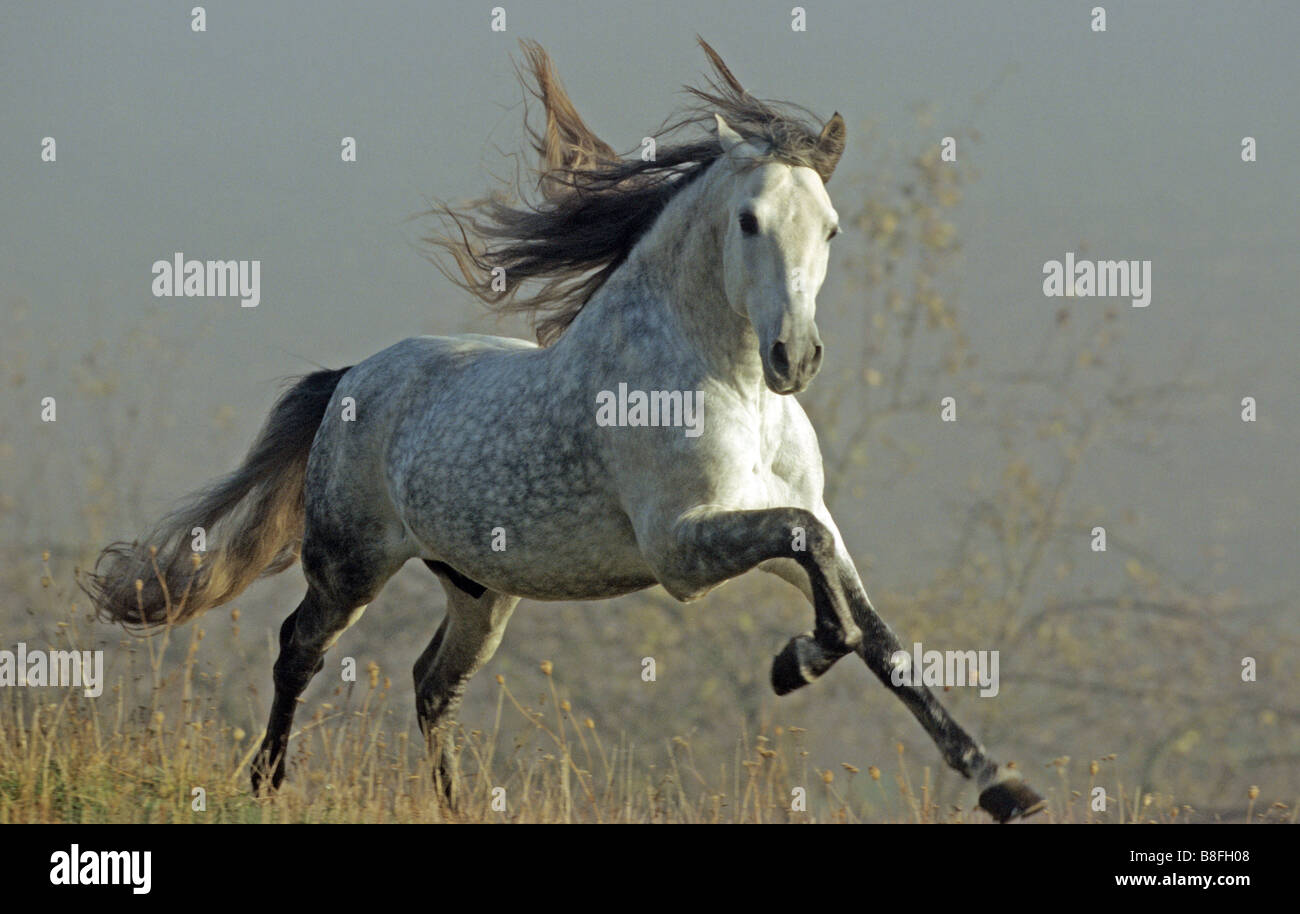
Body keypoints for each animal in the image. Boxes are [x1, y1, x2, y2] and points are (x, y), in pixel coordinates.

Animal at [82, 38, 1045, 822]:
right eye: (749, 221)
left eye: (833, 229)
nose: (794, 358)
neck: (727, 385)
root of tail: (349, 379)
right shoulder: (681, 550)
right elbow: (814, 564)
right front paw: (796, 663)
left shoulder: (799, 525)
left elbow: (876, 633)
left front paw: (1001, 783)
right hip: (352, 563)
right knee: (298, 651)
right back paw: (266, 784)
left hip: (479, 590)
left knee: (431, 686)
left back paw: (457, 808)